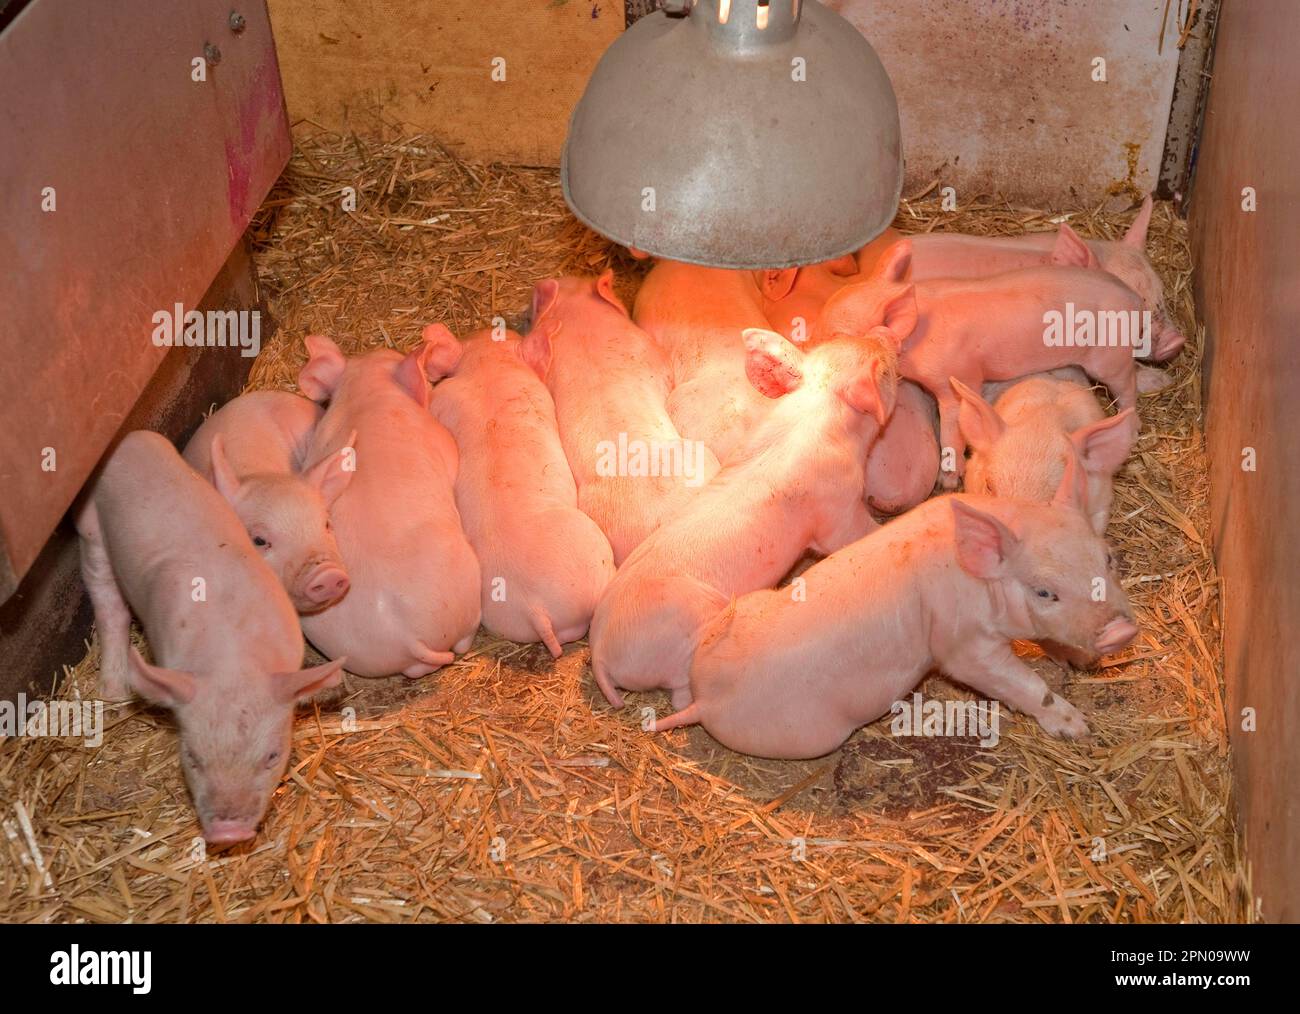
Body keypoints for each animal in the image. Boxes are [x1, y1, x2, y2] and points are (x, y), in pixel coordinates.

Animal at [74, 430, 345, 843]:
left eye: (271, 755)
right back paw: (113, 698)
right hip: (91, 533)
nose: (229, 832)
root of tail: (128, 438)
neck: (233, 656)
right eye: (192, 758)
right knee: (108, 604)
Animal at [589, 326, 897, 709]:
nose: (884, 331)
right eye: (885, 370)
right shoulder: (838, 507)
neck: (819, 410)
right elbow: (854, 533)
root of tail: (599, 649)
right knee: (680, 693)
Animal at [654, 459, 1137, 757]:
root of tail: (707, 701)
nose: (1121, 631)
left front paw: (1079, 662)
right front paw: (1079, 728)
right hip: (812, 735)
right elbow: (1016, 682)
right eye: (1043, 592)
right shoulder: (961, 643)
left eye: (1109, 558)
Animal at [820, 241, 1159, 488]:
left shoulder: (958, 375)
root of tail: (1133, 300)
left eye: (837, 335)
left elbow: (952, 427)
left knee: (1127, 385)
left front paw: (947, 481)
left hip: (1110, 356)